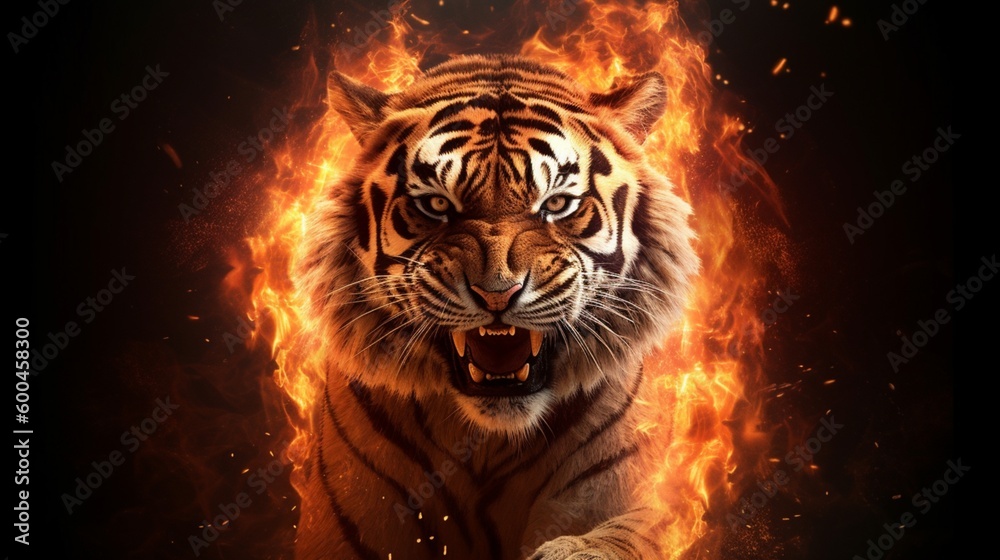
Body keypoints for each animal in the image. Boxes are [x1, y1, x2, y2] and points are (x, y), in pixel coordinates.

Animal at [292, 54, 699, 559]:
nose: (497, 293)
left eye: (557, 204)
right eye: (436, 204)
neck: (488, 441)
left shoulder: (629, 495)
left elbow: (620, 534)